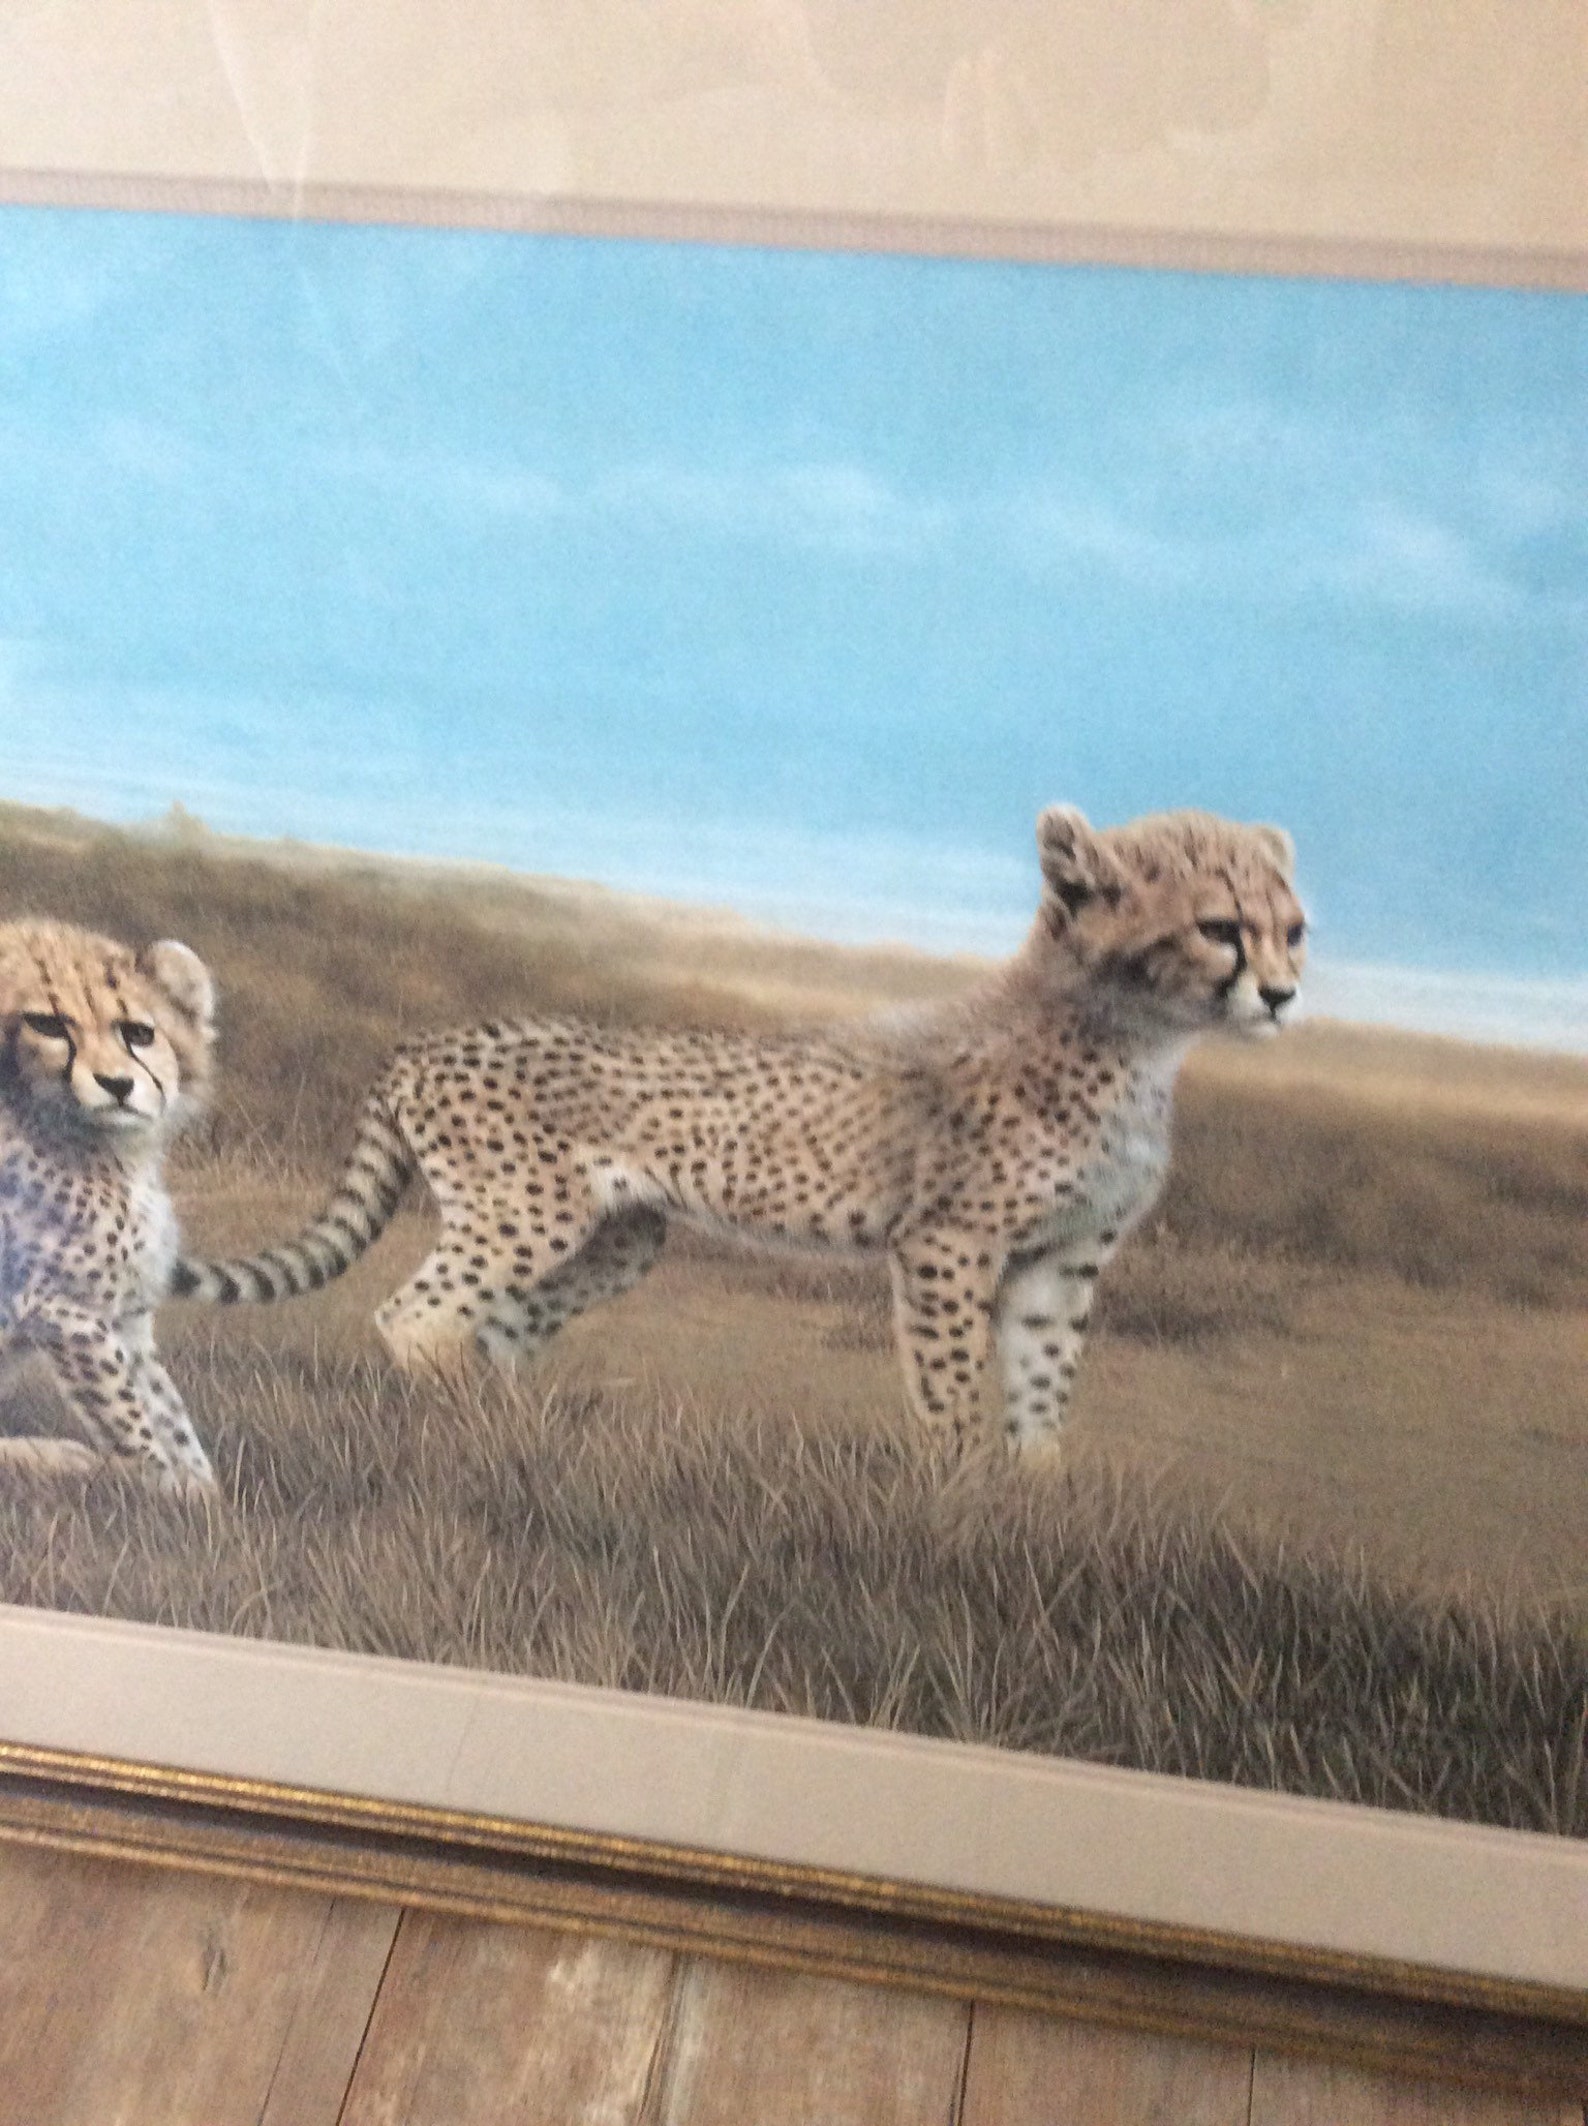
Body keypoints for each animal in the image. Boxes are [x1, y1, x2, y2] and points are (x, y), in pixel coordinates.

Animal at [0, 917, 218, 1491]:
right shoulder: (62, 1311)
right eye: (48, 1025)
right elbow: (130, 1420)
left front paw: (207, 1496)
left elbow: (166, 1410)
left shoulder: (128, 1319)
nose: (117, 1084)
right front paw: (160, 1488)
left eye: (138, 1033)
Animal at [170, 805, 1305, 1454]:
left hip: (619, 1234)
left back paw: (514, 1430)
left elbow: (1043, 1387)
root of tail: (428, 1035)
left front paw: (1026, 1507)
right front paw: (954, 1495)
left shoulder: (1064, 1258)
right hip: (524, 1212)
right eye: (1219, 927)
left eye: (1293, 929)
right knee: (417, 1313)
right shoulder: (948, 1243)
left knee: (500, 1323)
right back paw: (457, 1427)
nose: (1287, 993)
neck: (1134, 1039)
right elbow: (953, 1388)